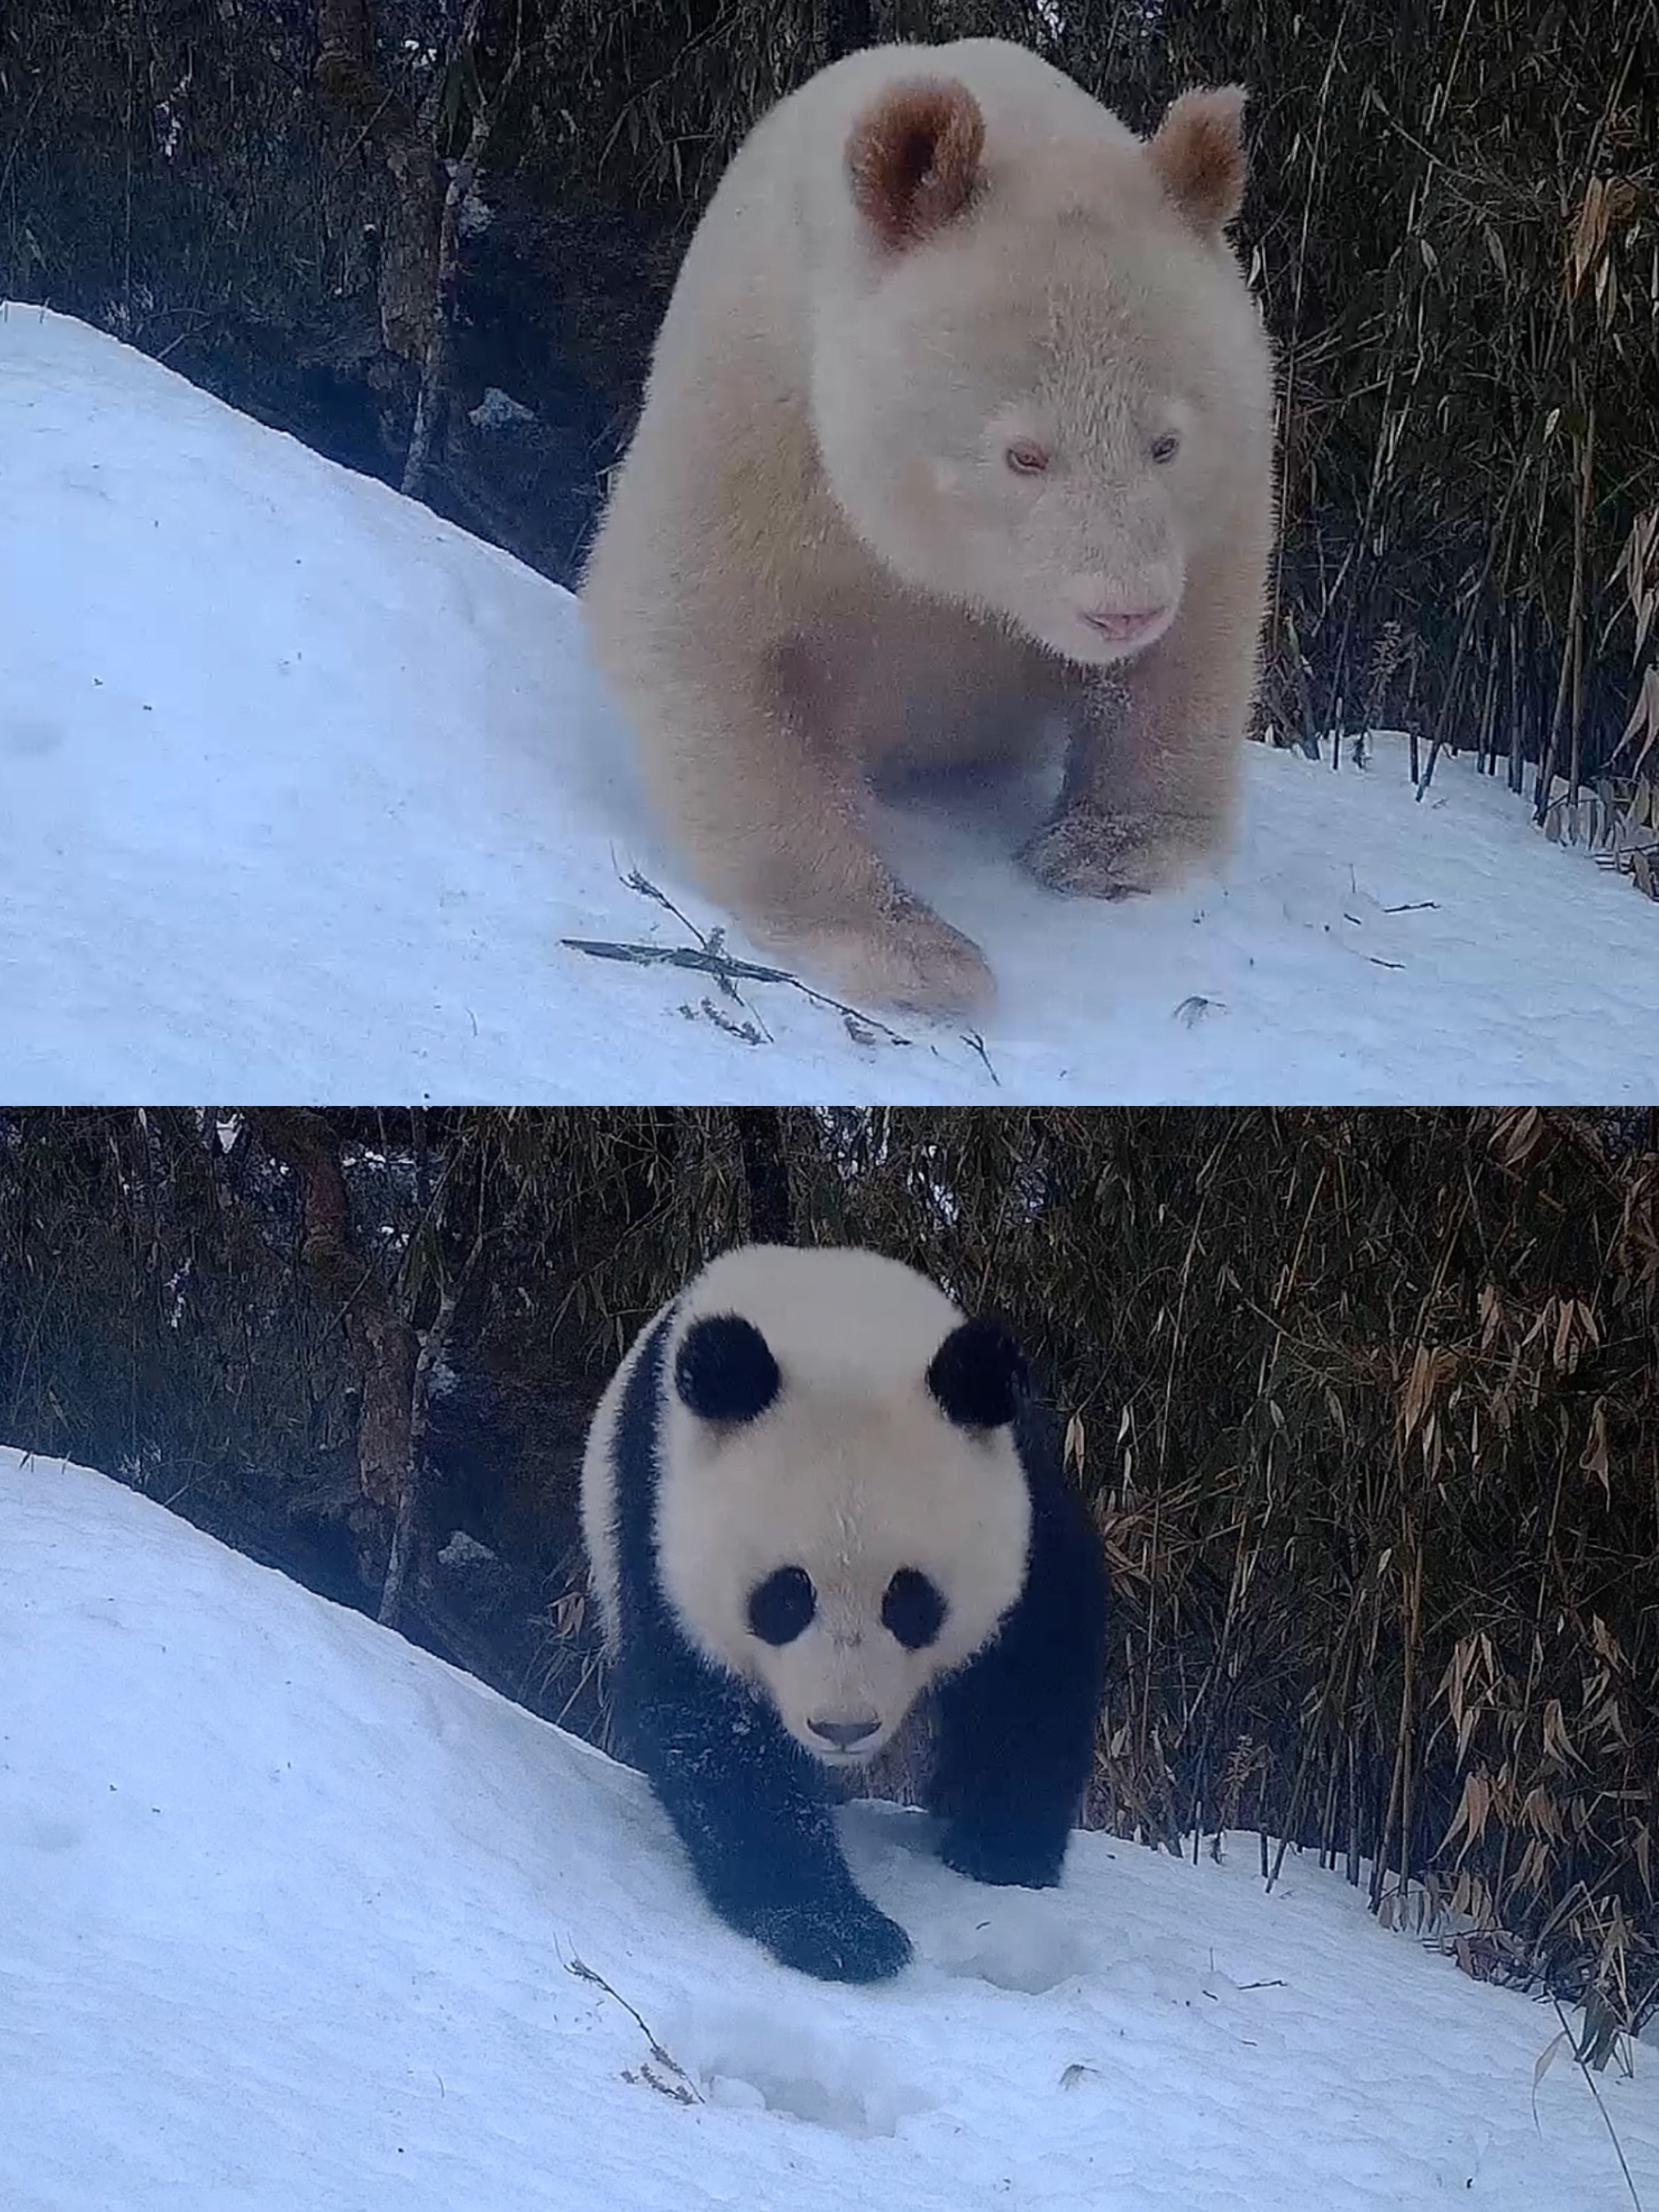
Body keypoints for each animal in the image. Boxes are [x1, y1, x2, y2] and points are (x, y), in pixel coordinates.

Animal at [579, 1243, 1109, 1984]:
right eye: (784, 1597)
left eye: (912, 1601)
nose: (843, 1728)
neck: (838, 1325)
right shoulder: (659, 1517)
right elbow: (709, 1721)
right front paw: (837, 1931)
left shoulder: (1024, 1498)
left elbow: (1036, 1660)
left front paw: (1001, 1850)